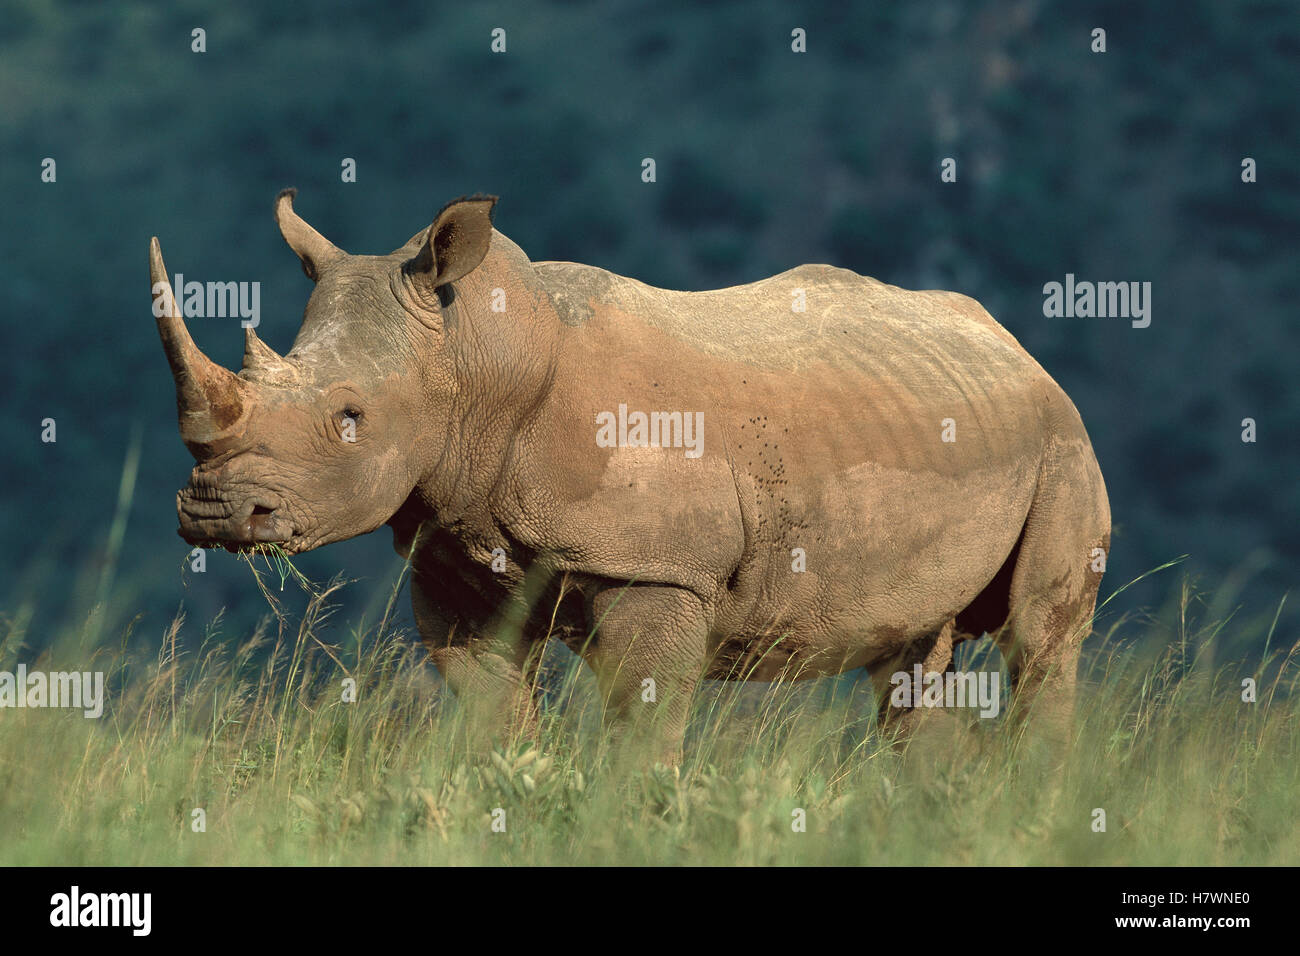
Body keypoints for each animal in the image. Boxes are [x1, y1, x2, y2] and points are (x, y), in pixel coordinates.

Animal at [152, 190, 1110, 762]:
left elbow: (642, 723)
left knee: (1039, 640)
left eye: (350, 418)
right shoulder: (453, 556)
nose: (213, 513)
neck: (476, 360)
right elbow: (491, 711)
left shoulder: (660, 568)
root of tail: (1017, 349)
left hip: (1062, 440)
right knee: (912, 658)